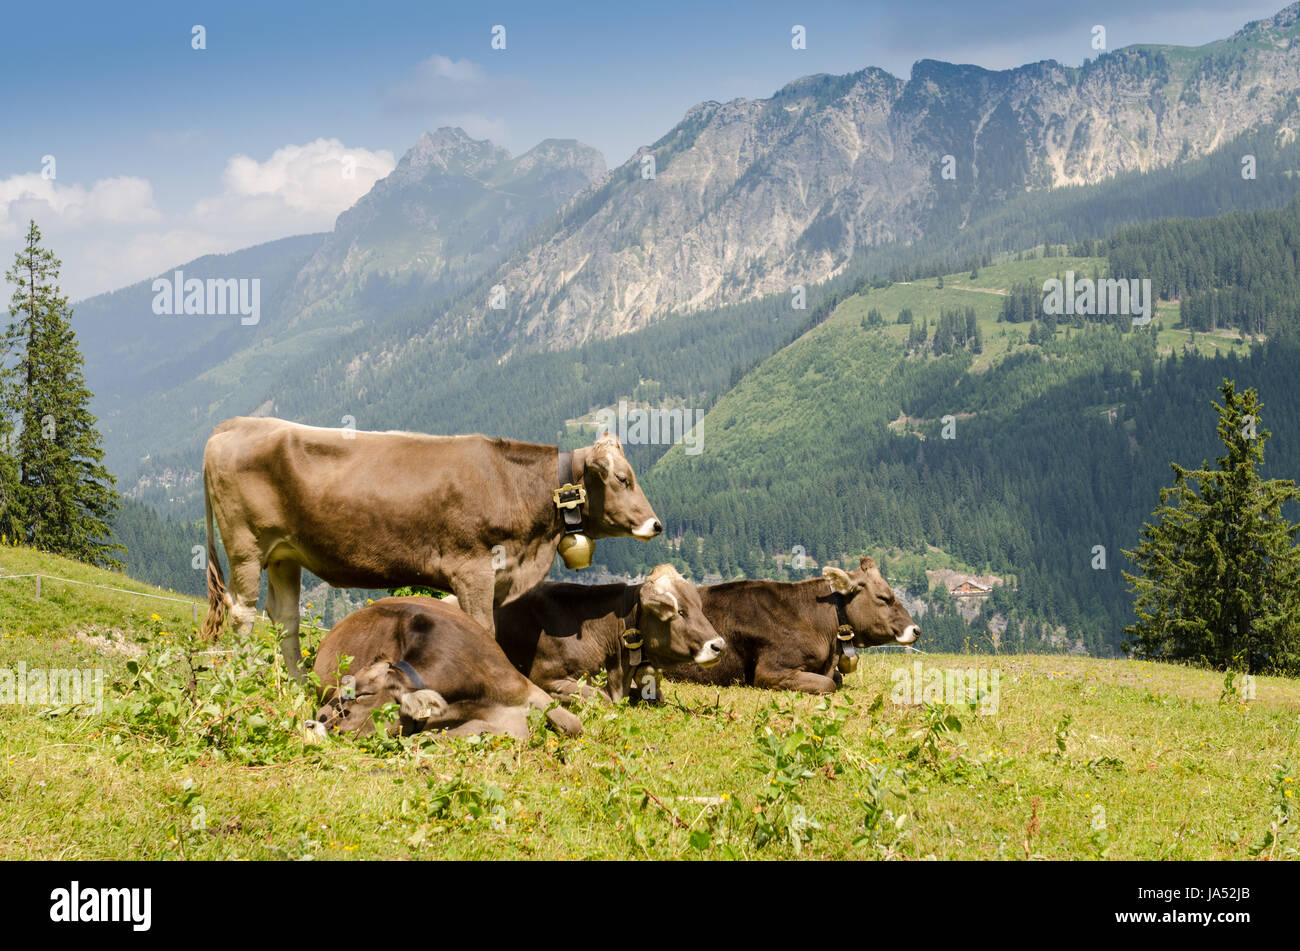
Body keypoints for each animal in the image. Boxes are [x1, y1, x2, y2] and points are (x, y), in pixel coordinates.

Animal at [200, 416, 662, 679]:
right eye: (623, 479)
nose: (656, 524)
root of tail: (234, 424)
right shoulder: (472, 568)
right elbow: (484, 630)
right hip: (246, 546)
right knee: (241, 612)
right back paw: (243, 679)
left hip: (284, 553)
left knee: (284, 618)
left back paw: (298, 685)